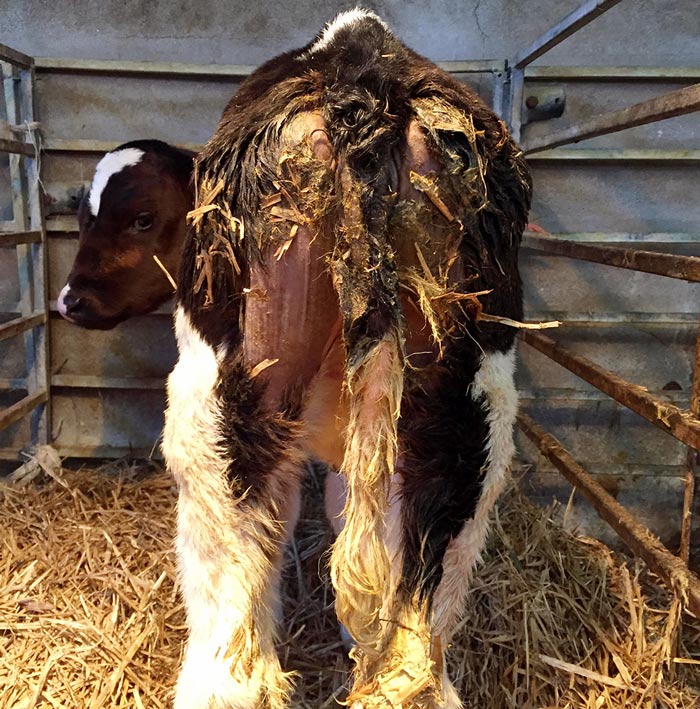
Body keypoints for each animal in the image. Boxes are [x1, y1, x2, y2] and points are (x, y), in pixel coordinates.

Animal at [60, 10, 531, 708]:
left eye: (141, 218)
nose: (69, 300)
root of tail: (361, 64)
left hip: (219, 401)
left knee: (233, 592)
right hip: (468, 408)